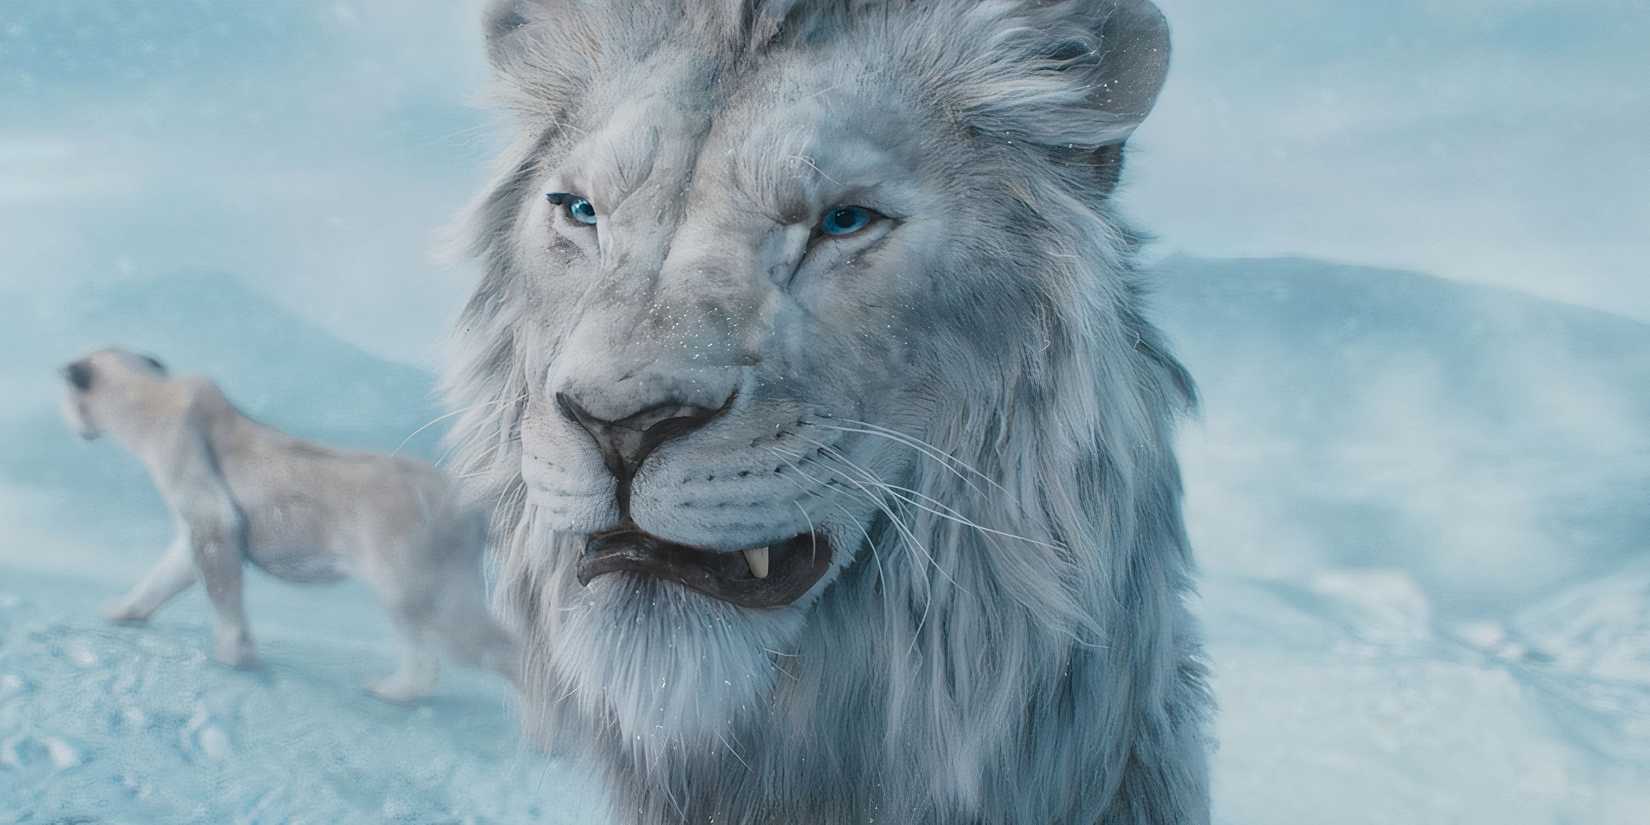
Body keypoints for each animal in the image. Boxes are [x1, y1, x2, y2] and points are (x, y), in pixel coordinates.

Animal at [59, 348, 521, 702]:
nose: (76, 428)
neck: (150, 402)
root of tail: (469, 508)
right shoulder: (195, 531)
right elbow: (166, 576)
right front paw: (122, 610)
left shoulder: (205, 500)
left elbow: (218, 575)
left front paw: (234, 654)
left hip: (409, 576)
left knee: (460, 647)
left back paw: (394, 690)